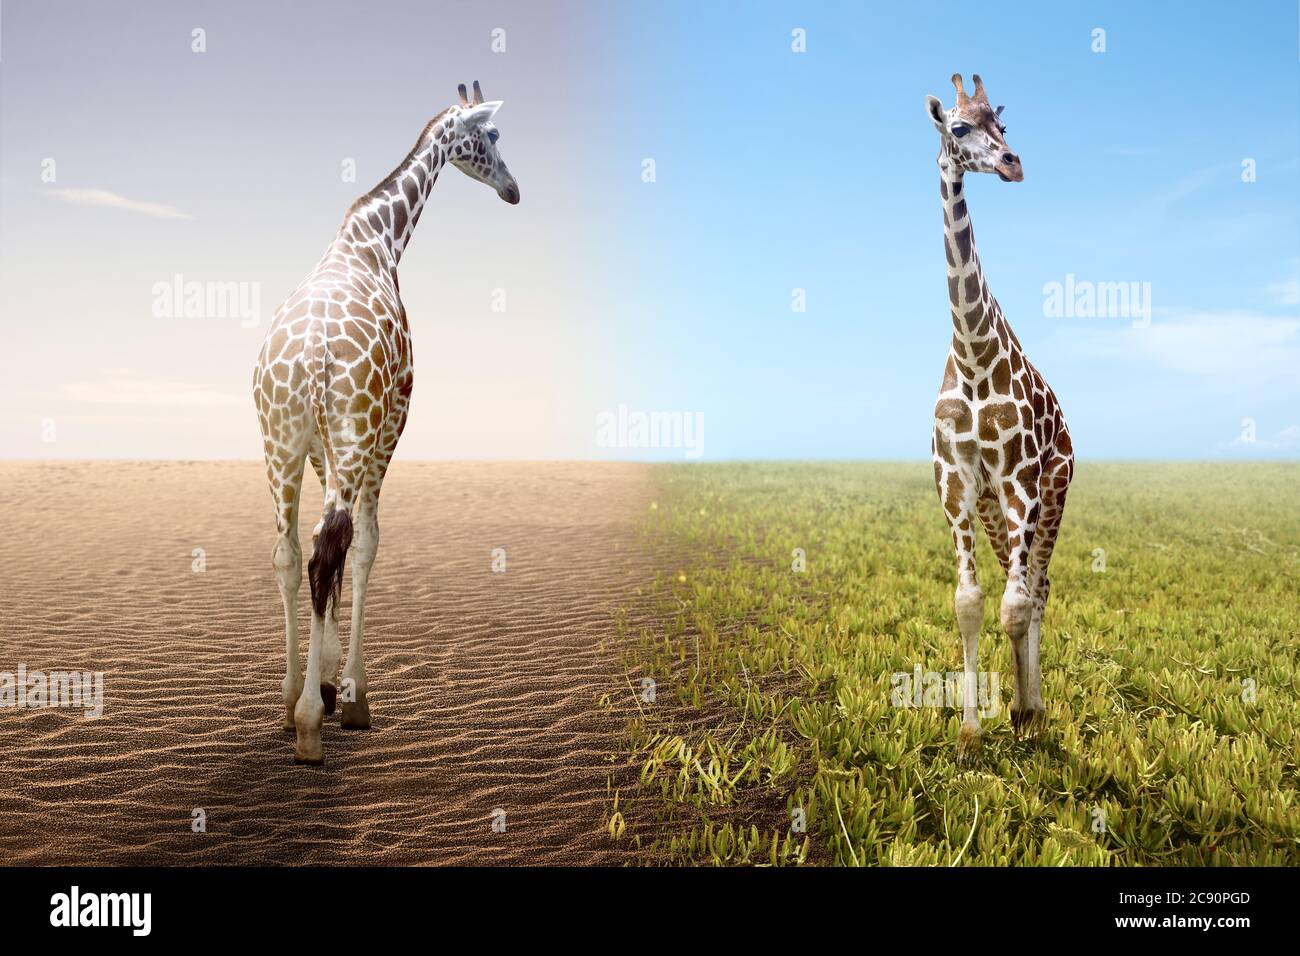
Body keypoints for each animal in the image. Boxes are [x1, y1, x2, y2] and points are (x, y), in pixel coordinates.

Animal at [254, 81, 519, 764]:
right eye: (492, 136)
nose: (512, 189)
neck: (377, 239)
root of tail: (313, 356)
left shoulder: (318, 448)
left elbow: (335, 551)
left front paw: (324, 681)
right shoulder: (390, 426)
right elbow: (368, 544)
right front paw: (349, 697)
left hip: (278, 442)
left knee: (291, 552)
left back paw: (290, 701)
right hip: (350, 435)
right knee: (326, 550)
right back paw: (312, 727)